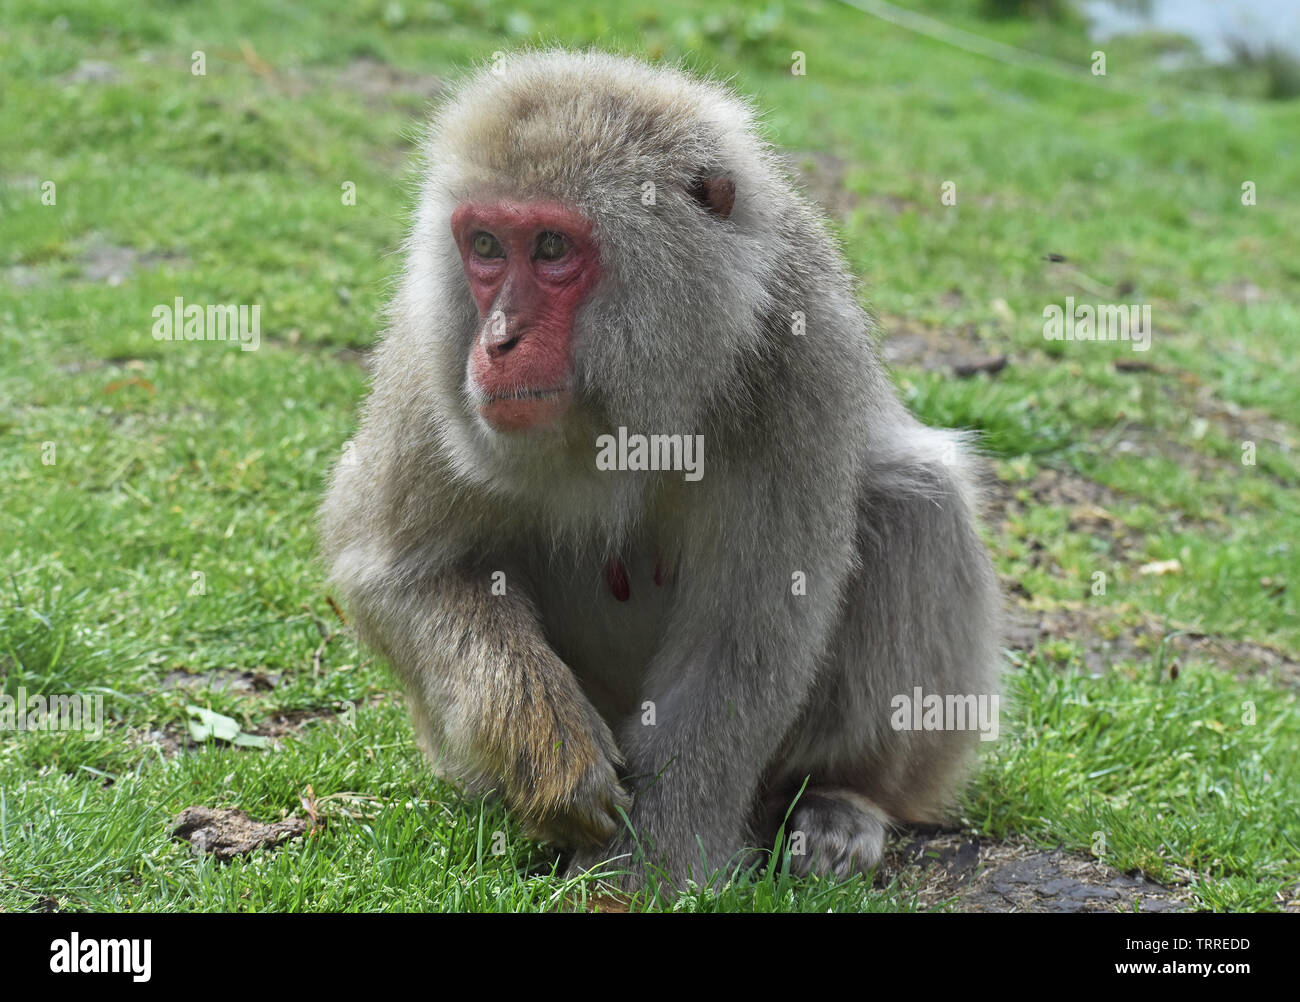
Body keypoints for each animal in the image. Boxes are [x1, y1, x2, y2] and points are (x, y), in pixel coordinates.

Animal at [319, 49, 1002, 890]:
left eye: (551, 249)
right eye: (485, 246)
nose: (498, 340)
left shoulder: (802, 354)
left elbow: (742, 632)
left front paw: (645, 874)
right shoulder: (430, 359)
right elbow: (400, 574)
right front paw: (549, 756)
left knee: (918, 503)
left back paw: (847, 797)